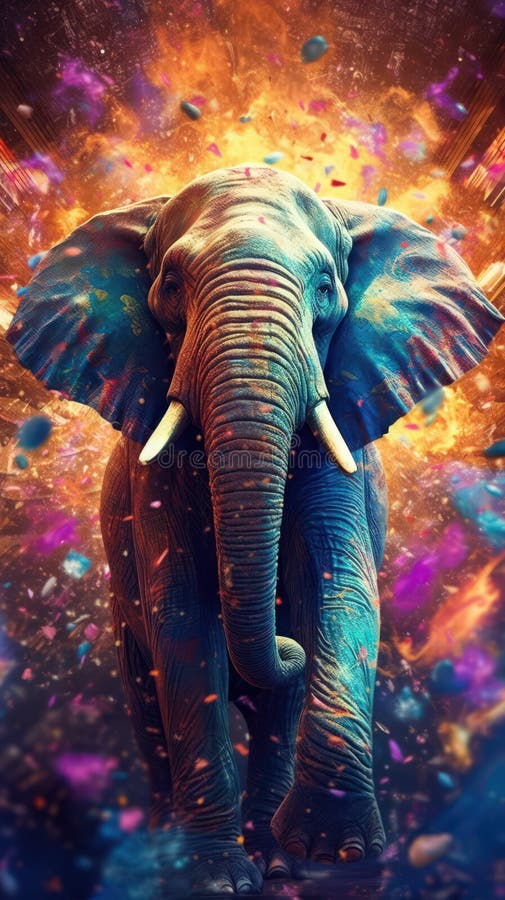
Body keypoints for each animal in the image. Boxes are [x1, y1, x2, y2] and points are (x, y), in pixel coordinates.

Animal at [7, 165, 503, 895]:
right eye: (172, 284)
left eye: (325, 287)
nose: (280, 636)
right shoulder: (149, 487)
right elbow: (184, 623)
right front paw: (214, 879)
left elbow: (337, 590)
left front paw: (337, 852)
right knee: (146, 698)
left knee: (277, 706)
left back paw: (279, 859)